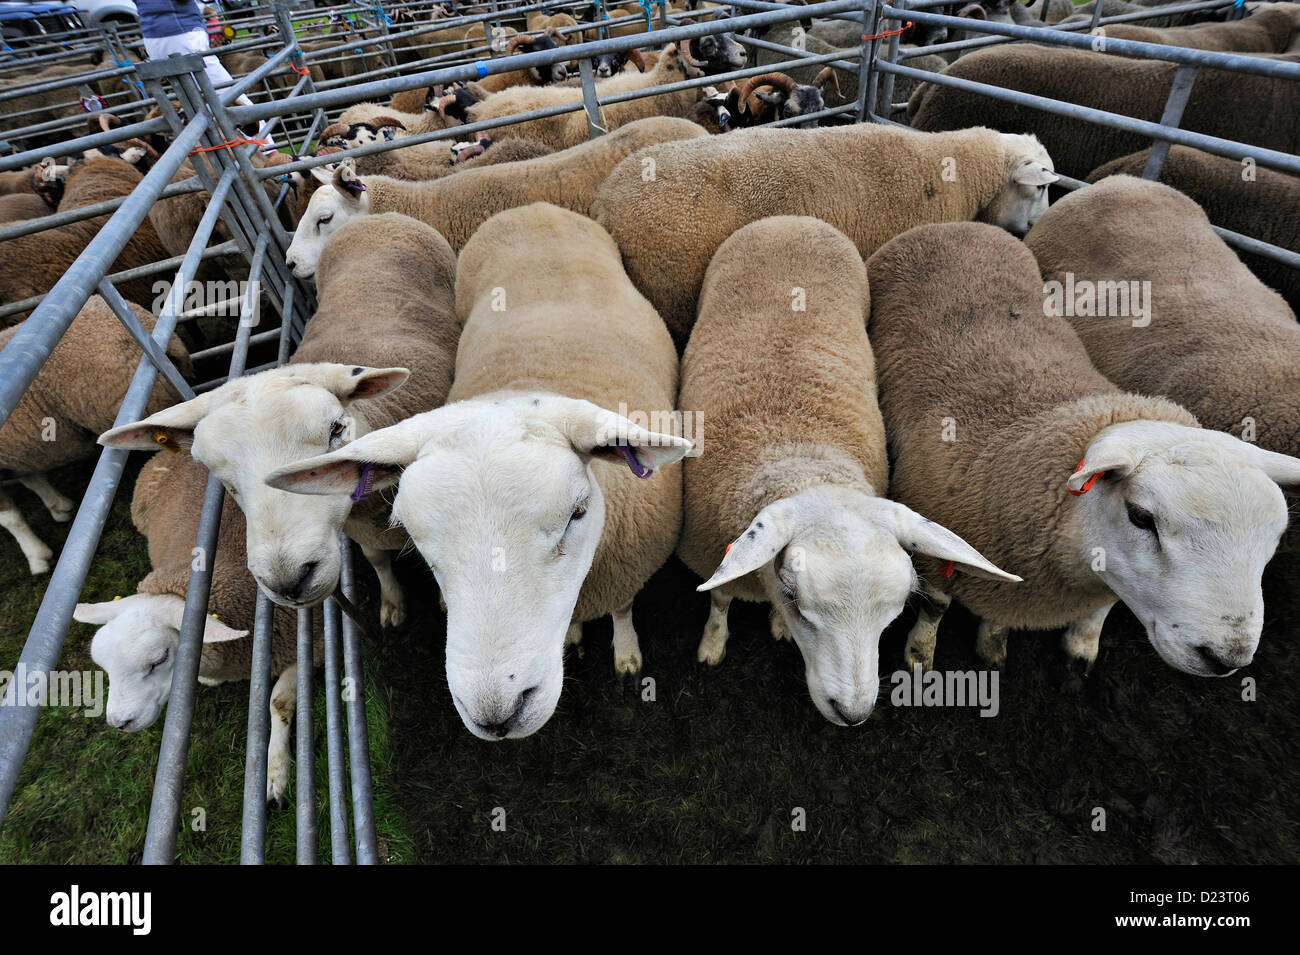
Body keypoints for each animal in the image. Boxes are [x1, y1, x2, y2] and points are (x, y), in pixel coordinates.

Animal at [73, 449, 320, 808]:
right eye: (104, 667)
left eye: (159, 659)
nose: (120, 723)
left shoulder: (307, 643)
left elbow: (278, 702)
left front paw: (275, 775)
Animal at [100, 213, 460, 627]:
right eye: (216, 472)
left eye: (337, 429)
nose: (288, 580)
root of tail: (374, 219)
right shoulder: (362, 531)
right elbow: (376, 558)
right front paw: (392, 600)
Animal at [265, 203, 693, 738]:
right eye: (410, 532)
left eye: (578, 512)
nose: (496, 712)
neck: (534, 379)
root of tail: (533, 207)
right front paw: (575, 634)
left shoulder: (626, 569)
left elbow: (623, 607)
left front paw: (627, 652)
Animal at [677, 216, 1018, 724]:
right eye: (795, 597)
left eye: (895, 611)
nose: (852, 713)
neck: (806, 459)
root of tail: (792, 219)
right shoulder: (708, 547)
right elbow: (719, 598)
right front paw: (713, 643)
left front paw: (774, 625)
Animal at [865, 220, 1300, 677]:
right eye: (1141, 517)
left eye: (1275, 536)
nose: (1225, 658)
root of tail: (958, 226)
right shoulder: (936, 546)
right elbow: (935, 607)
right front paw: (919, 655)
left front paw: (1000, 643)